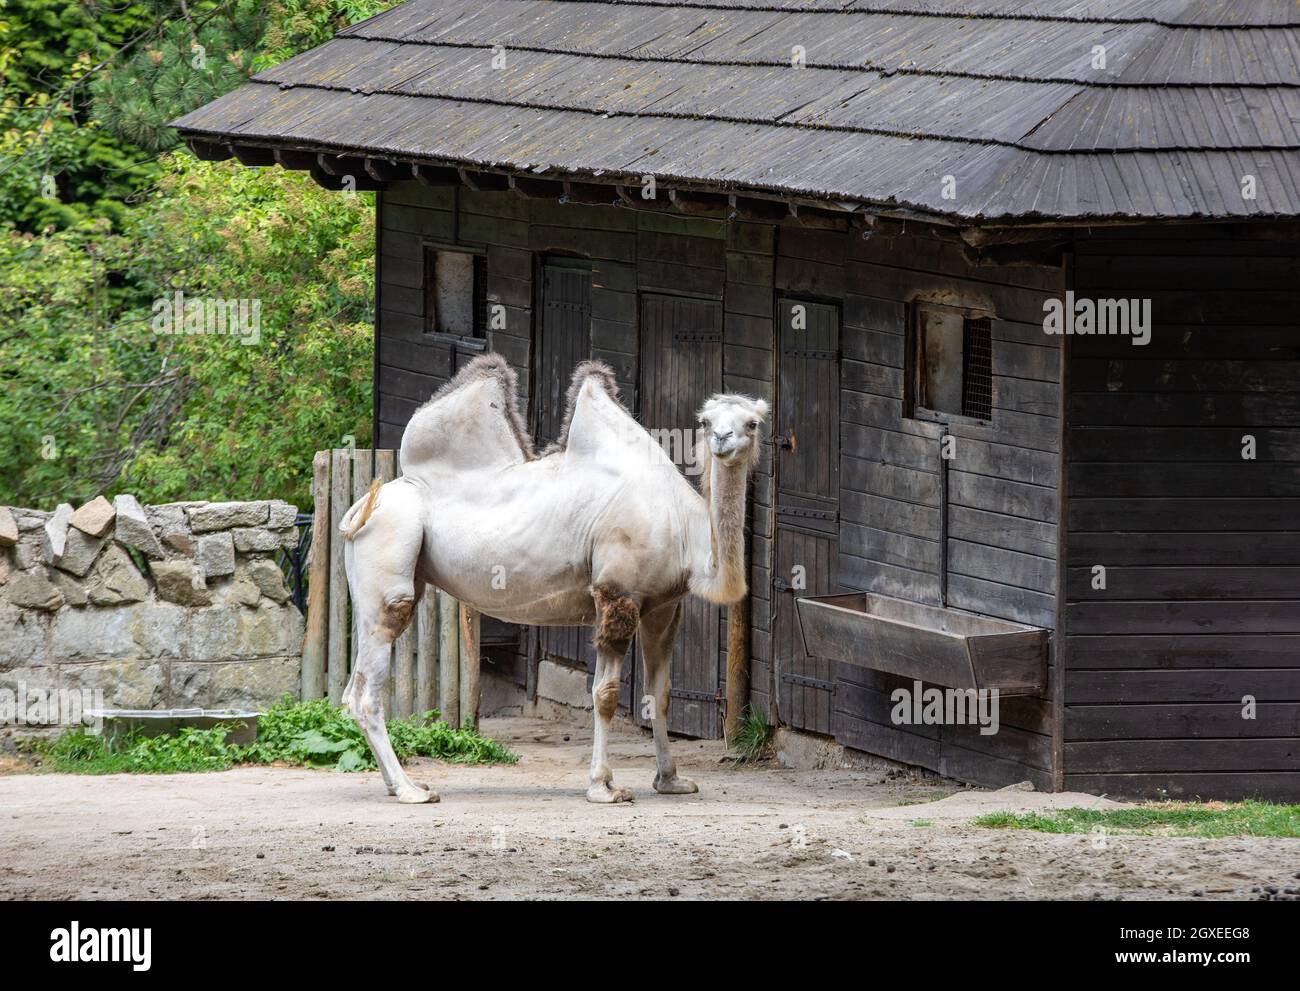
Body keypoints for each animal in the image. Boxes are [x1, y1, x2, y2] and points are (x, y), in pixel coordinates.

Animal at [339, 353, 767, 804]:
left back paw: (398, 783)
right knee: (368, 687)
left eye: (752, 423)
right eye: (705, 421)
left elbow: (660, 694)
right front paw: (603, 786)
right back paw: (410, 789)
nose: (722, 438)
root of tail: (364, 504)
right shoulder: (617, 593)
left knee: (354, 687)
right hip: (390, 551)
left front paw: (670, 781)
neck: (685, 530)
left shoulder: (663, 606)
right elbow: (605, 695)